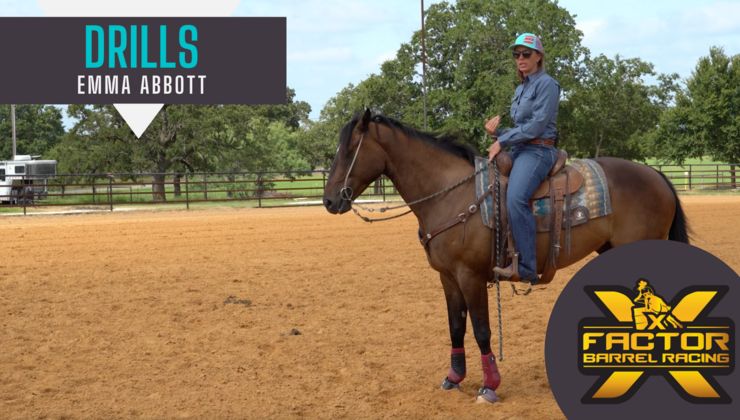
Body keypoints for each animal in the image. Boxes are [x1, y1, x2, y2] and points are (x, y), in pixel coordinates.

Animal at [322, 109, 690, 404]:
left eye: (350, 151)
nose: (329, 201)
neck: (450, 194)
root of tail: (656, 175)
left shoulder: (470, 276)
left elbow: (482, 330)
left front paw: (489, 386)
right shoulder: (448, 277)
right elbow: (456, 326)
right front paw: (454, 378)